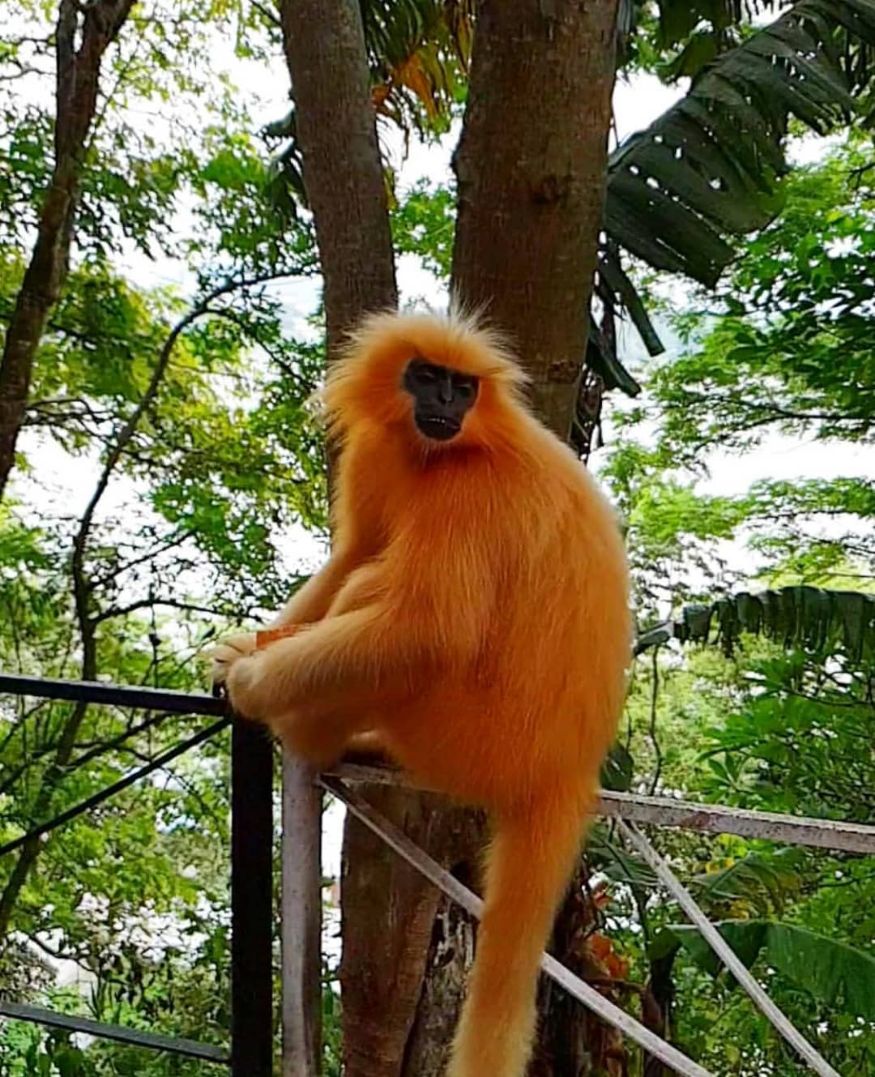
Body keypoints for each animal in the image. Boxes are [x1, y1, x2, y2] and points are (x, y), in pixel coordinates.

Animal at [211, 309, 632, 1077]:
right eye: (428, 376)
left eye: (463, 387)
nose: (445, 405)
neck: (438, 450)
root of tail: (566, 769)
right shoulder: (380, 450)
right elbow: (352, 552)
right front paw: (241, 649)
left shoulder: (468, 489)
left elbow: (424, 633)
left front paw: (252, 683)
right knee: (367, 570)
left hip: (459, 730)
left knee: (383, 604)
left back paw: (318, 735)